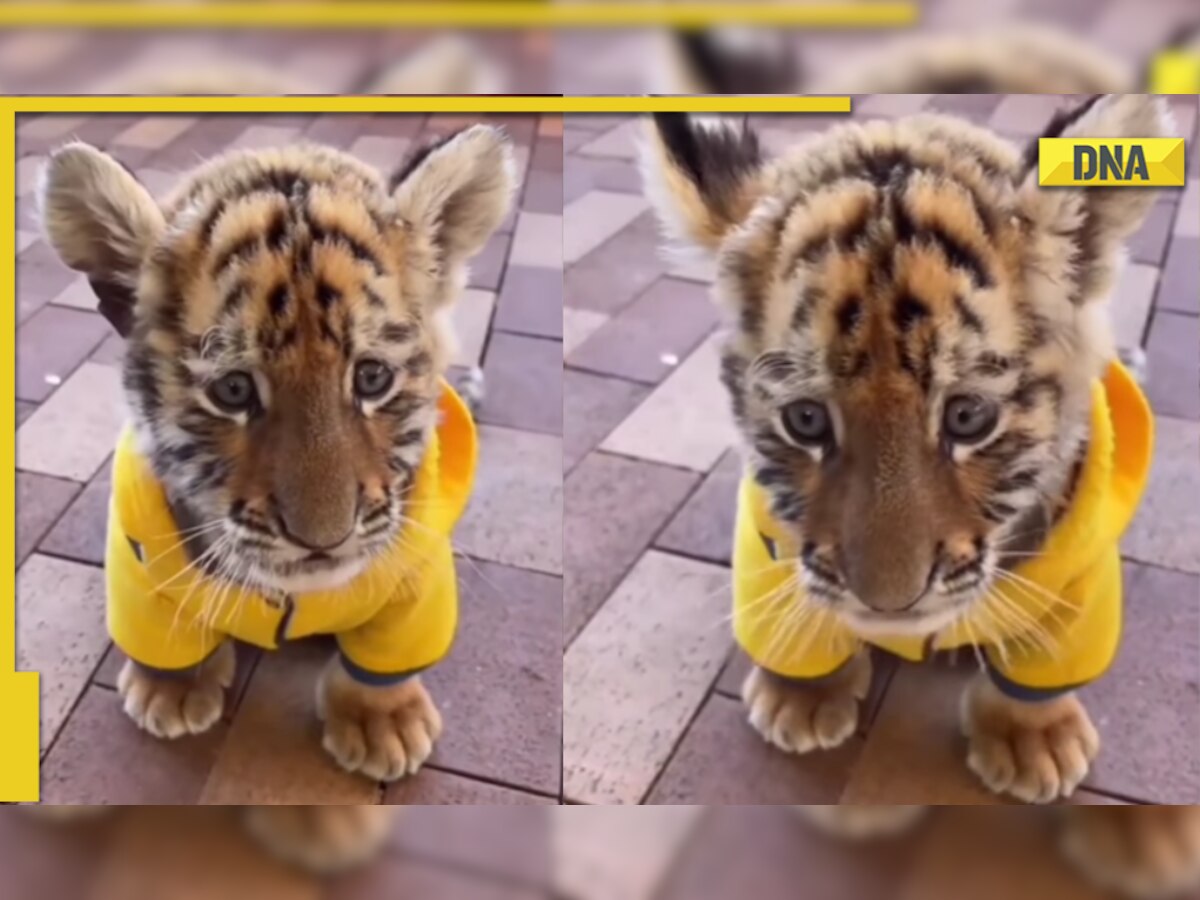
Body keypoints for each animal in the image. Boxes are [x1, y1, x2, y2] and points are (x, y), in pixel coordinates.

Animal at [37, 124, 515, 782]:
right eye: (234, 390)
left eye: (371, 378)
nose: (323, 539)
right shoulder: (142, 548)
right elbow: (164, 625)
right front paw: (172, 690)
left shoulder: (417, 566)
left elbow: (389, 652)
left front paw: (383, 722)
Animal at [639, 92, 1184, 887]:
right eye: (806, 419)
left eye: (968, 416)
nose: (887, 604)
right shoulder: (770, 538)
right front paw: (802, 700)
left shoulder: (1079, 564)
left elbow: (1047, 658)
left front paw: (1038, 741)